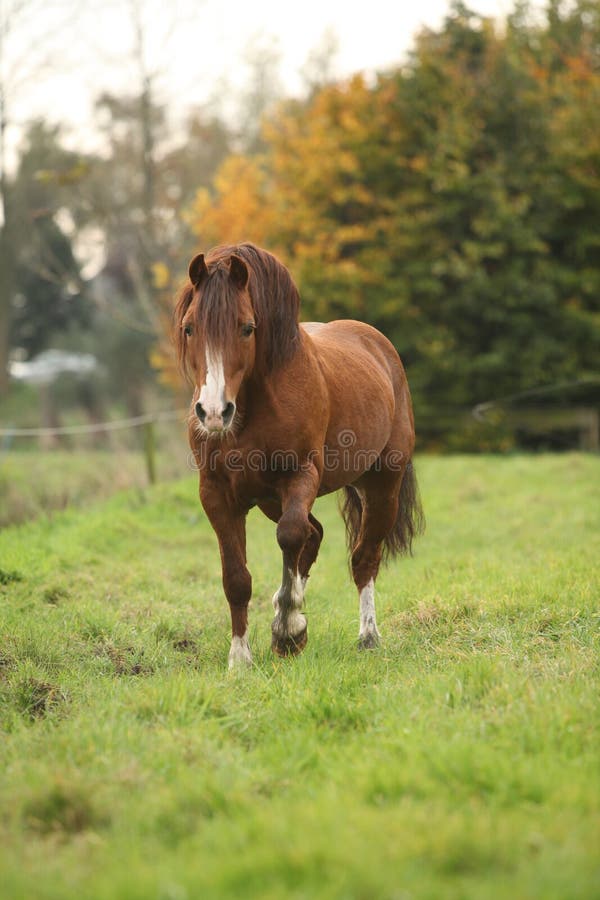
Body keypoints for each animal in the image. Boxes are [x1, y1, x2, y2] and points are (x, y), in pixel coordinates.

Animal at [174, 242, 424, 668]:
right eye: (190, 327)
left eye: (247, 327)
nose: (214, 412)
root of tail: (379, 346)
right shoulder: (217, 494)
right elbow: (236, 578)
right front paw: (240, 657)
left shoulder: (300, 475)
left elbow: (290, 535)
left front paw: (289, 631)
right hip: (269, 498)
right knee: (316, 534)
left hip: (381, 486)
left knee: (362, 557)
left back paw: (367, 637)